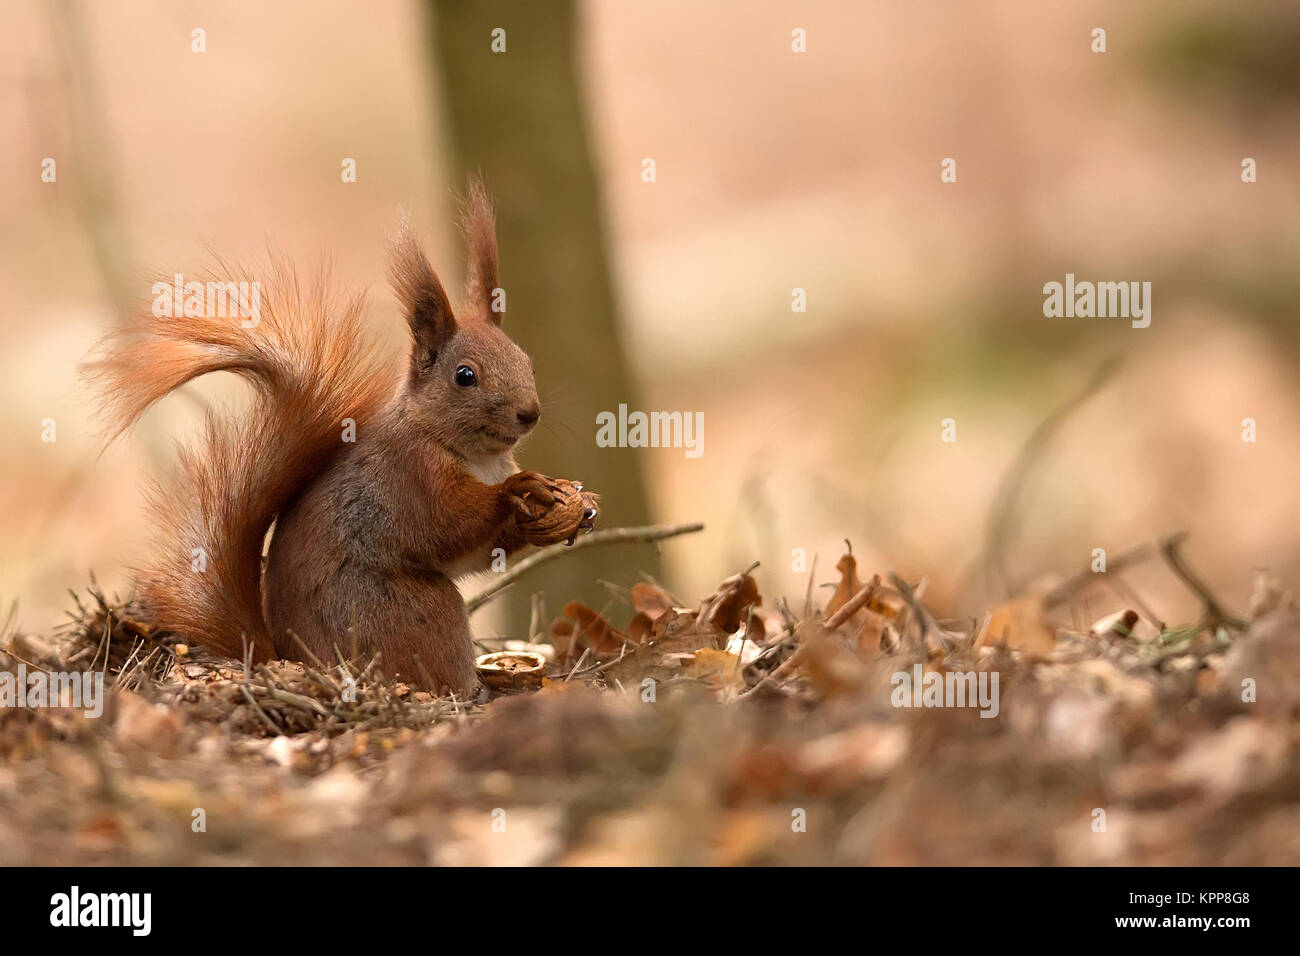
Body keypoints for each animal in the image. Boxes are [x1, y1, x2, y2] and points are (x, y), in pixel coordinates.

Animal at [85, 180, 599, 694]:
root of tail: (288, 657)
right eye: (465, 376)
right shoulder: (410, 475)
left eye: (528, 362)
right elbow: (448, 526)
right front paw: (517, 490)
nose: (529, 414)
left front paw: (575, 507)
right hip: (412, 613)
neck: (479, 456)